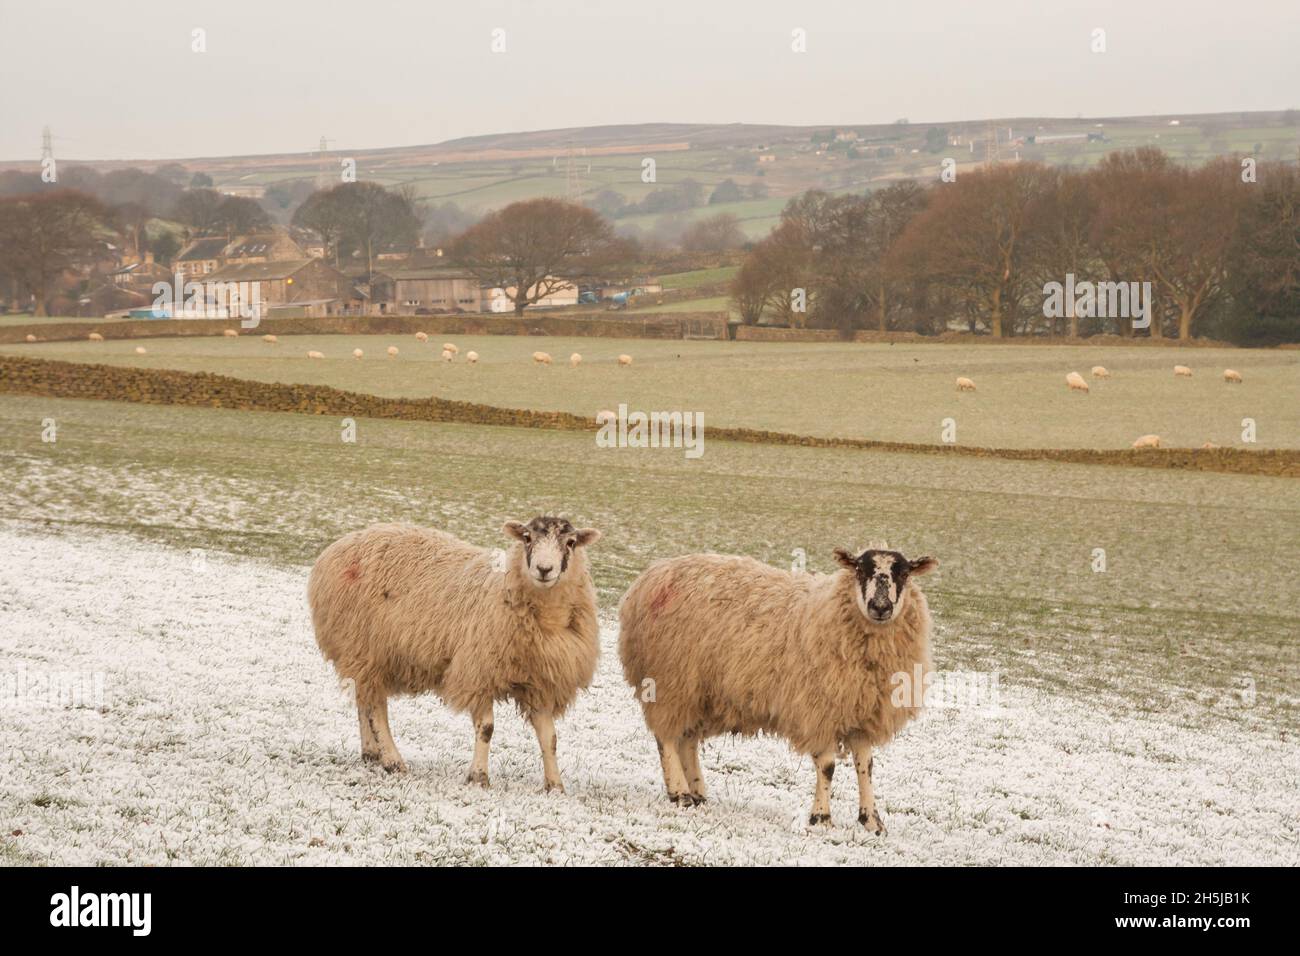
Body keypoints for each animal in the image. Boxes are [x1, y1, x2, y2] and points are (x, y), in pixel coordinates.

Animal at [308, 517, 602, 789]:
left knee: (365, 699)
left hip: (367, 655)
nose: (544, 569)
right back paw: (392, 760)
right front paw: (479, 778)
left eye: (571, 543)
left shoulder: (540, 682)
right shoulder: (477, 672)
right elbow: (486, 729)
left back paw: (371, 753)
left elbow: (550, 738)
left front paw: (555, 786)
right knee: (374, 709)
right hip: (364, 646)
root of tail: (338, 546)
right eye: (527, 538)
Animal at [619, 545, 937, 832]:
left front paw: (872, 821)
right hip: (670, 681)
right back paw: (680, 793)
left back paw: (697, 792)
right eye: (860, 570)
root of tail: (651, 575)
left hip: (700, 692)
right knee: (666, 739)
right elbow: (828, 766)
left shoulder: (860, 712)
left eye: (904, 573)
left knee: (686, 740)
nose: (880, 607)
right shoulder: (817, 710)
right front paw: (821, 819)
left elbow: (866, 767)